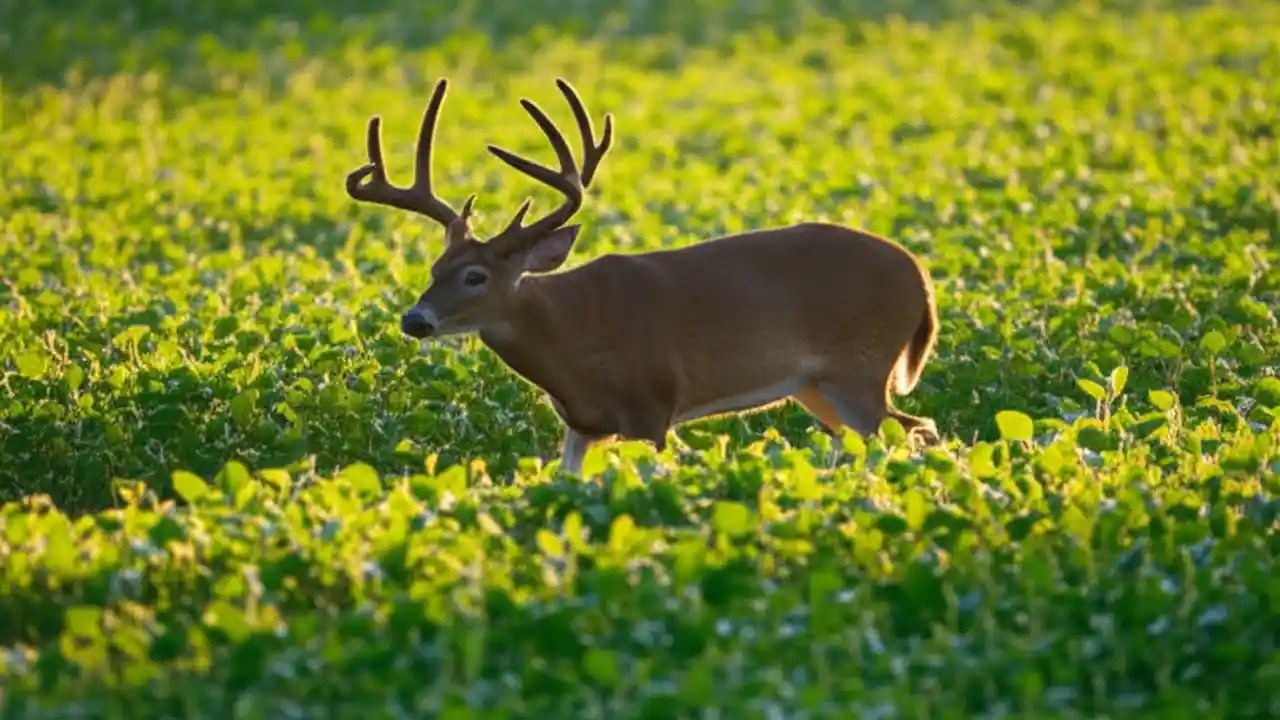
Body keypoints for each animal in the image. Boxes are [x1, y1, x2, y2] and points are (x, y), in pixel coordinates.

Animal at [344, 77, 940, 476]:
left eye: (475, 276)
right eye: (434, 268)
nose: (414, 319)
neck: (570, 336)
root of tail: (921, 277)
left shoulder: (653, 407)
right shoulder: (582, 424)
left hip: (858, 367)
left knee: (907, 432)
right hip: (815, 386)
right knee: (905, 430)